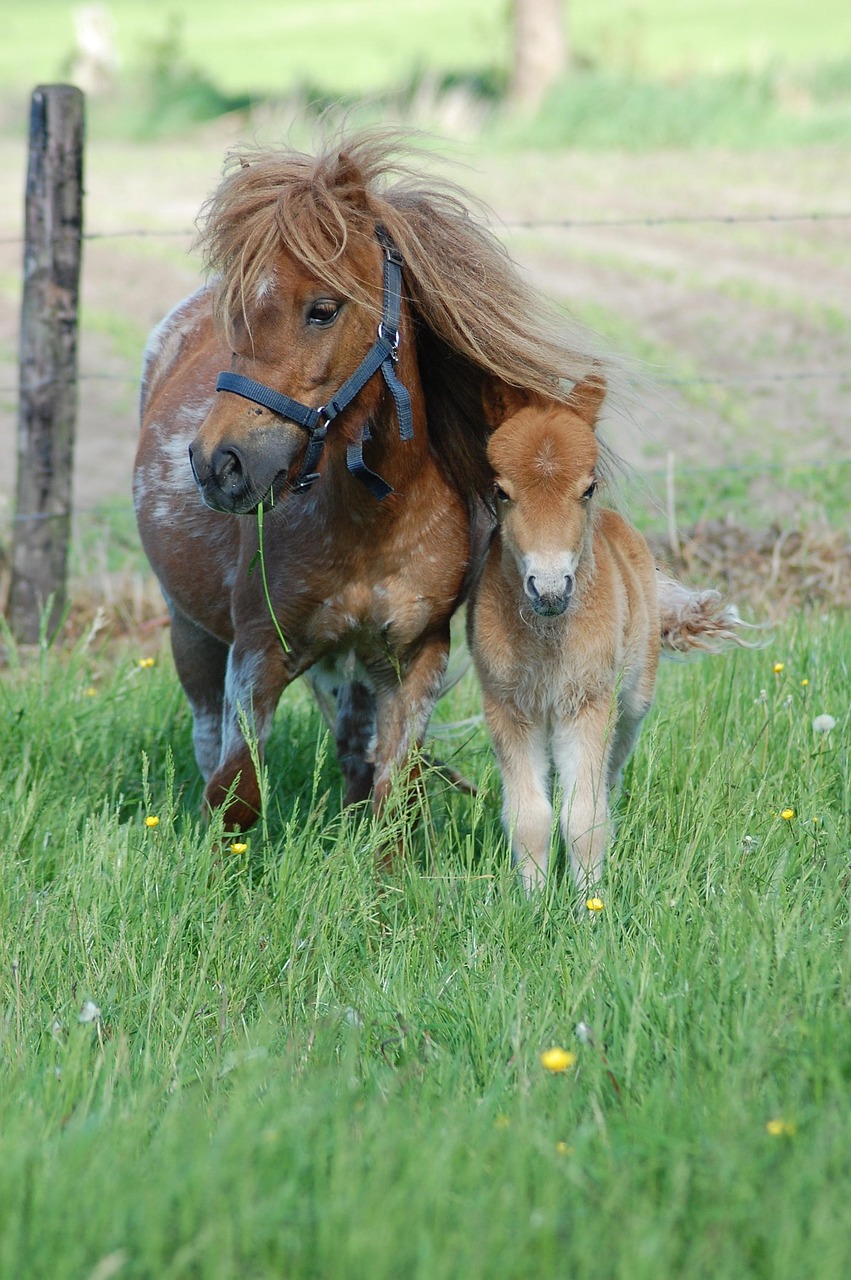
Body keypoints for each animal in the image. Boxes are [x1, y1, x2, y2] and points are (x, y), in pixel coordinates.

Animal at [133, 130, 607, 835]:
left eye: (323, 310)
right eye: (236, 313)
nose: (221, 466)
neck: (370, 520)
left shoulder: (414, 659)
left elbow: (393, 797)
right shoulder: (256, 655)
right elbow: (235, 795)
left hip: (348, 664)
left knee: (355, 751)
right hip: (192, 632)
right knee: (207, 736)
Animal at [469, 377, 750, 894]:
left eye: (588, 487)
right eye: (500, 490)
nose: (550, 587)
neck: (547, 640)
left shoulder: (588, 704)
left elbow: (585, 818)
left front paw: (589, 905)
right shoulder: (508, 708)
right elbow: (530, 818)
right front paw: (534, 902)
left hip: (632, 697)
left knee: (614, 763)